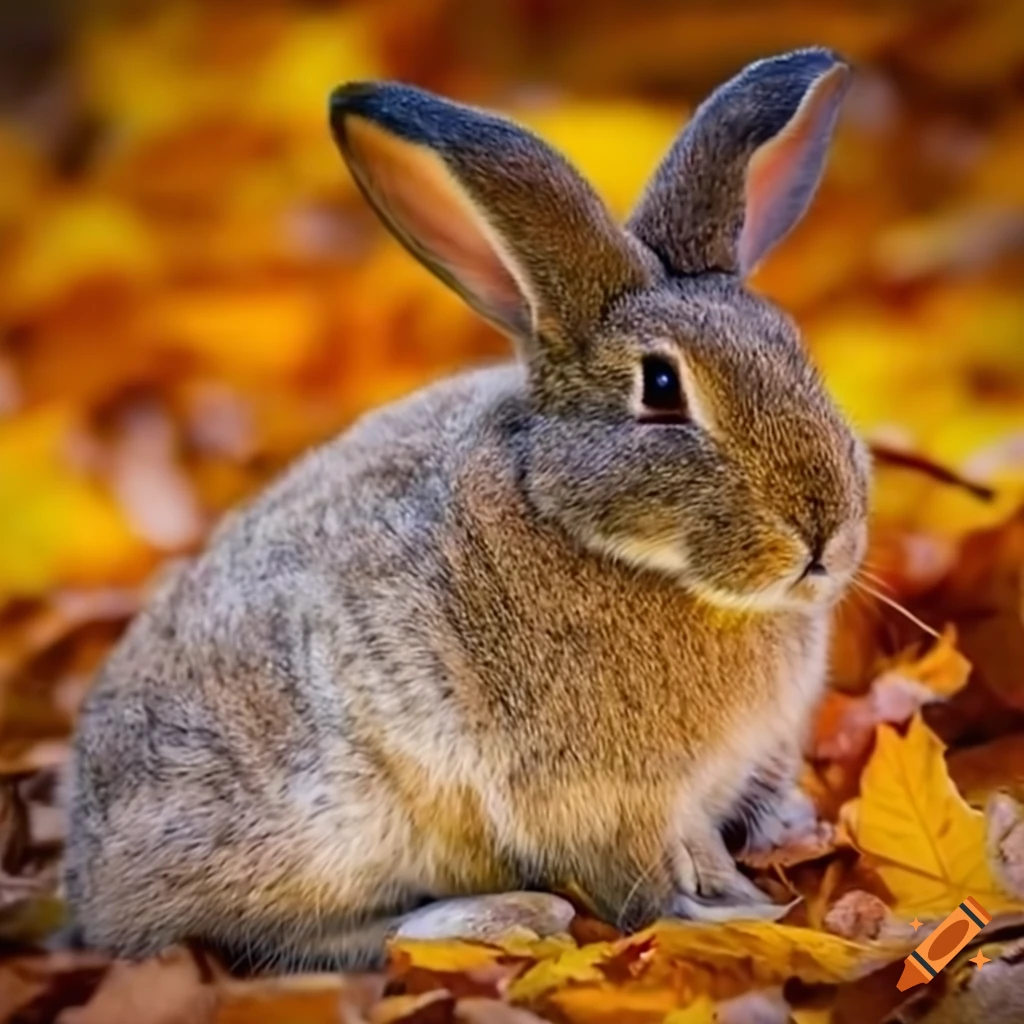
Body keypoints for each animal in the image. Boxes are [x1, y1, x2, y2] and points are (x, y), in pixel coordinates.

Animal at [65, 47, 869, 972]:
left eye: (793, 349)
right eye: (662, 388)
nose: (823, 531)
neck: (580, 526)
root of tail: (89, 887)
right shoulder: (598, 800)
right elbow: (642, 889)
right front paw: (735, 914)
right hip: (320, 824)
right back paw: (503, 915)